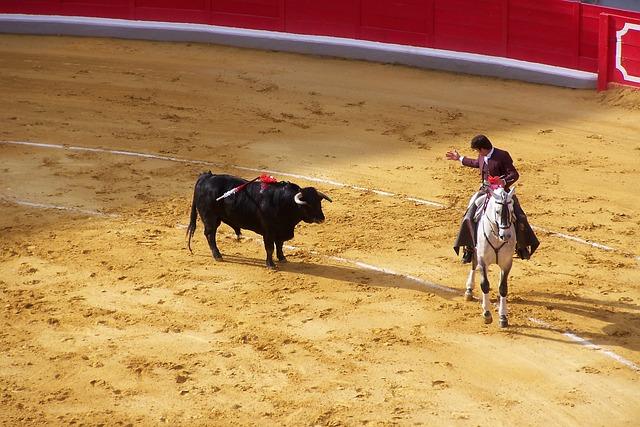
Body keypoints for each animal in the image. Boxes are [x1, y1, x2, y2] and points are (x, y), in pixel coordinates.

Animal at [188, 173, 332, 268]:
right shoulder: (268, 232)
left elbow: (279, 245)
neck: (283, 202)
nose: (321, 218)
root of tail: (206, 177)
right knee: (210, 234)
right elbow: (270, 248)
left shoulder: (280, 231)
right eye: (308, 205)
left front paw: (282, 258)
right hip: (210, 218)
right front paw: (271, 264)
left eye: (319, 203)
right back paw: (217, 255)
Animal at [464, 186, 516, 330]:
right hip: (474, 249)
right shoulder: (483, 261)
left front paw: (503, 317)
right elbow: (485, 285)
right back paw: (469, 289)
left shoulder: (507, 263)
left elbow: (503, 288)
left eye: (512, 210)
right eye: (497, 211)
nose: (506, 236)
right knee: (473, 264)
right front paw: (487, 314)